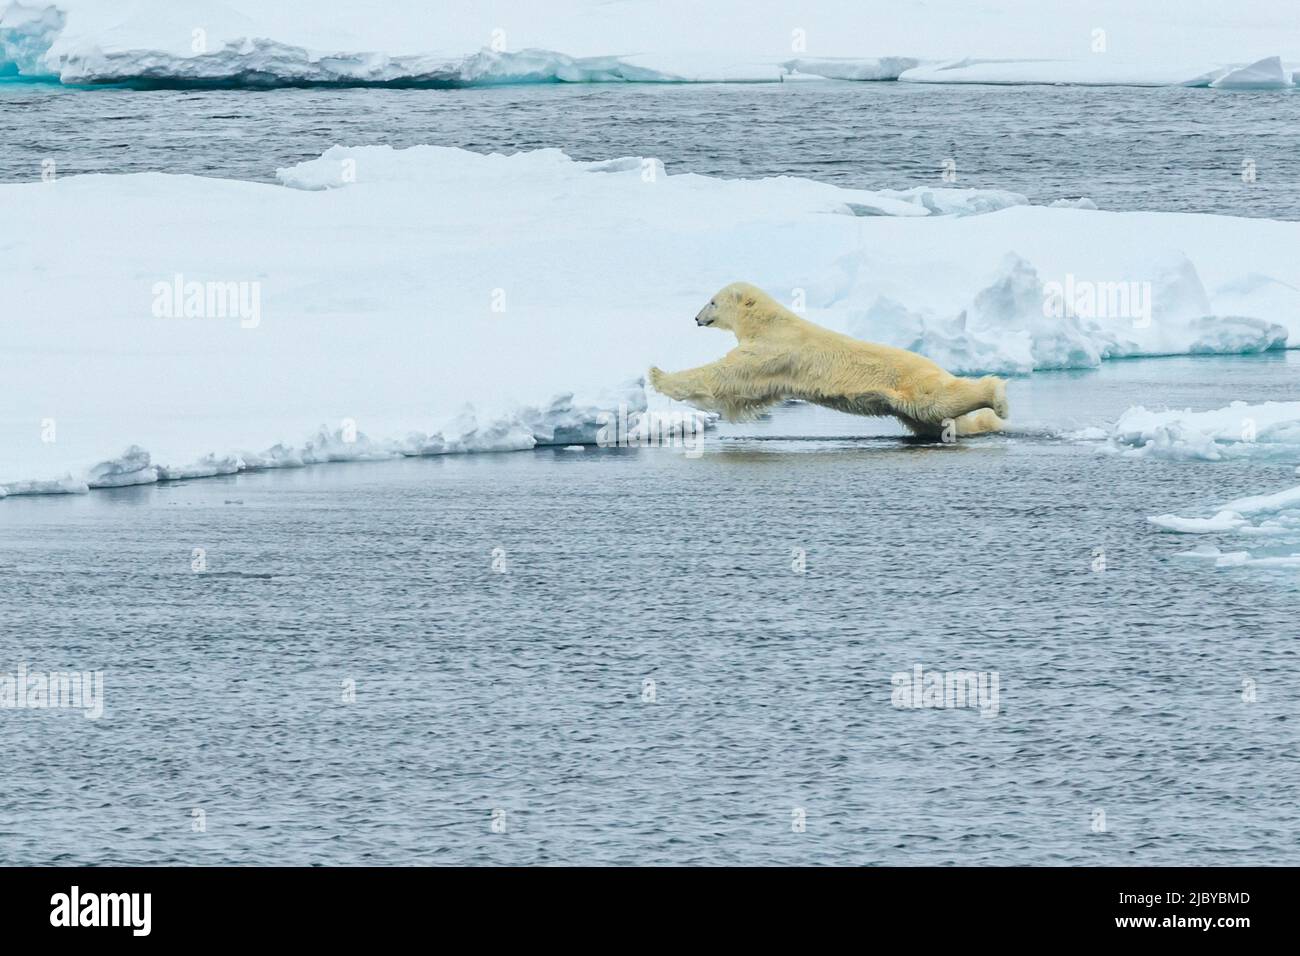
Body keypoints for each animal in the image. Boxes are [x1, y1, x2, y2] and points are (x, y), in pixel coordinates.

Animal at [647, 282, 1008, 438]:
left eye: (712, 301)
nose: (696, 318)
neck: (768, 321)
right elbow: (744, 395)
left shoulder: (771, 351)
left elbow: (726, 375)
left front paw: (656, 374)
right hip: (904, 406)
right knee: (933, 420)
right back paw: (983, 424)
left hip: (909, 383)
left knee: (938, 401)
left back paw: (998, 398)